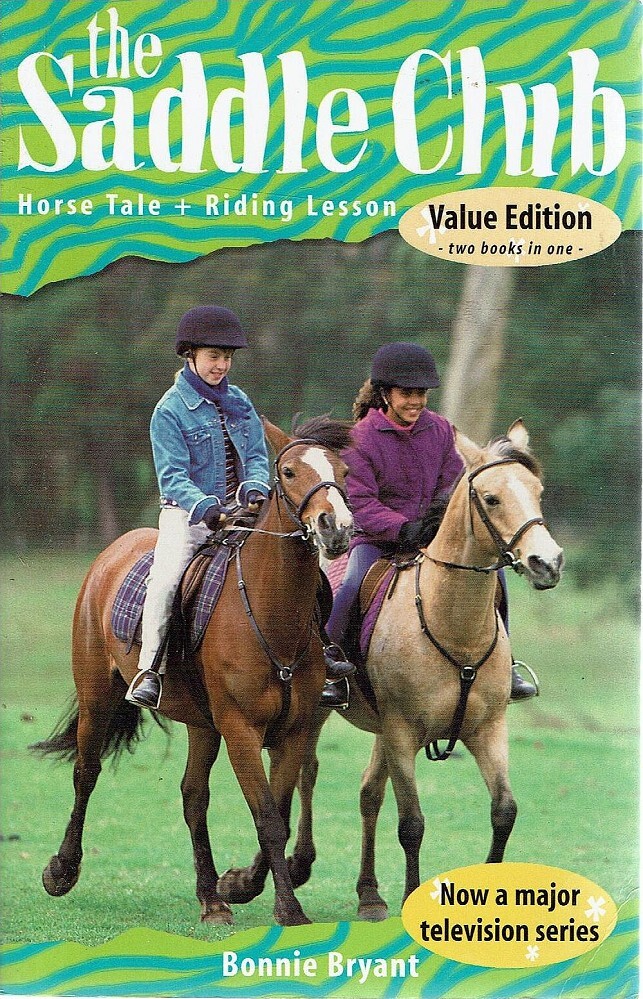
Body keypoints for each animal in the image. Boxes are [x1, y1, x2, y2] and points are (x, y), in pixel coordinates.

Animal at [31, 418, 353, 927]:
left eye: (342, 470)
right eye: (288, 471)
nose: (335, 527)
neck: (270, 612)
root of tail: (114, 550)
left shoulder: (293, 730)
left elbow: (277, 817)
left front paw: (241, 886)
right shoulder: (241, 729)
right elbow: (266, 817)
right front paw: (288, 908)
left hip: (203, 723)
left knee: (192, 795)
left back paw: (211, 898)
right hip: (97, 695)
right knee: (86, 772)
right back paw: (62, 871)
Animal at [215, 420, 564, 921]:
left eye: (536, 491)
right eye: (492, 498)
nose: (547, 562)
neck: (450, 622)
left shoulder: (488, 729)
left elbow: (504, 812)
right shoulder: (402, 732)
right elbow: (412, 824)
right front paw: (409, 896)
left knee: (366, 795)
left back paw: (367, 894)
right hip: (318, 714)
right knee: (308, 775)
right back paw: (287, 869)